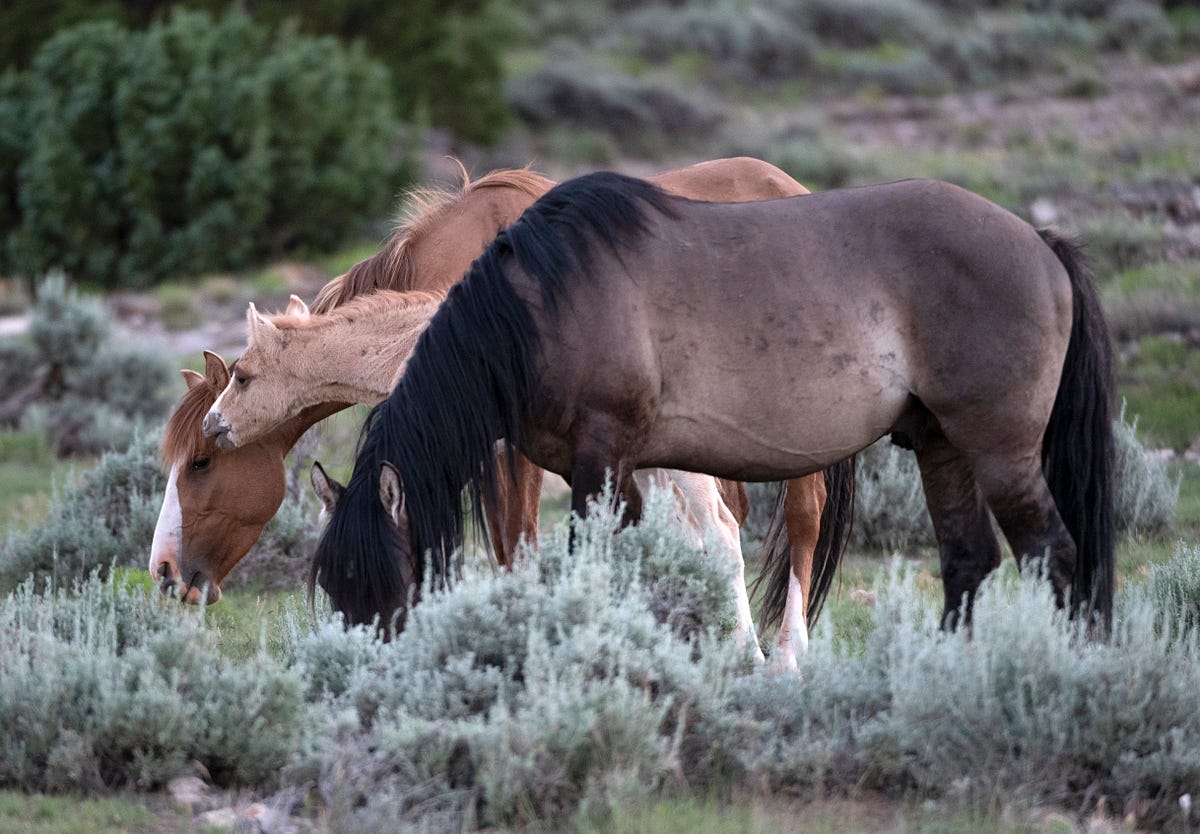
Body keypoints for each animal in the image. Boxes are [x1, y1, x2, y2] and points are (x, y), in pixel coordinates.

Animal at [311, 172, 1115, 638]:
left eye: (383, 583)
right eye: (333, 587)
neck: (540, 309)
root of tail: (1038, 241)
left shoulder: (600, 463)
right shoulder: (609, 472)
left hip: (1001, 451)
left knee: (1052, 553)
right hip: (942, 445)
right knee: (968, 559)